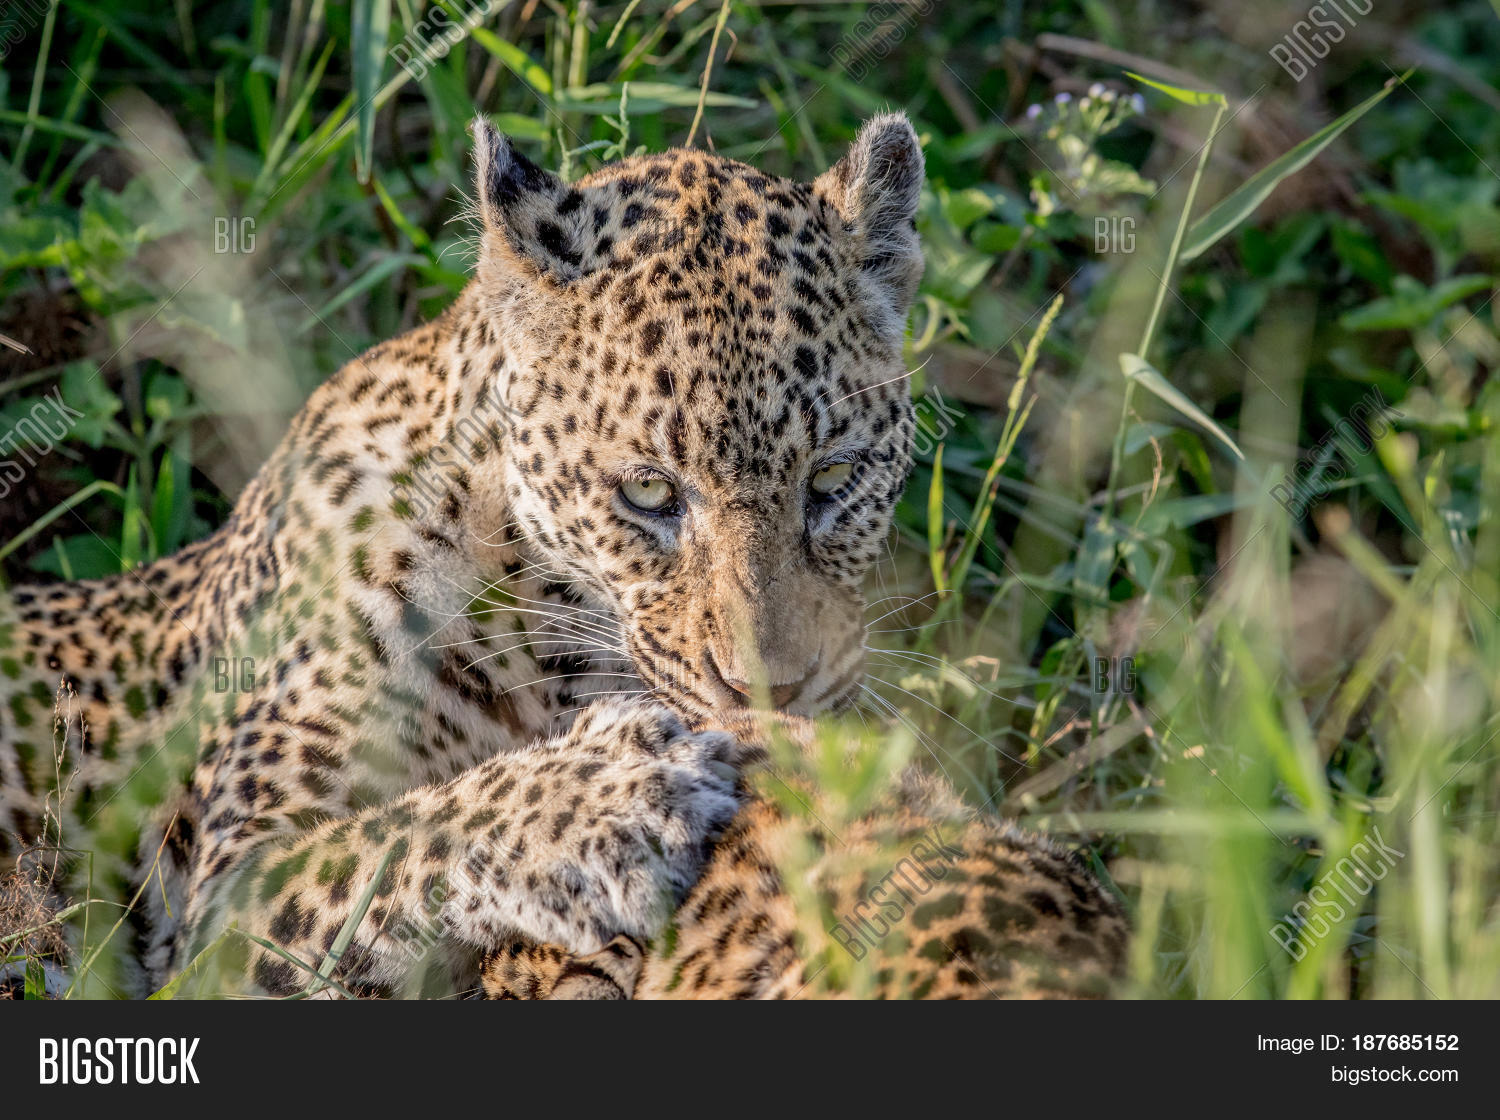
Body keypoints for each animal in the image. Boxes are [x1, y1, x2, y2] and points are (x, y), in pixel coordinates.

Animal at [0, 112, 1127, 999]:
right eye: (649, 492)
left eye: (835, 478)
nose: (770, 690)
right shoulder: (227, 900)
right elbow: (400, 835)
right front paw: (615, 797)